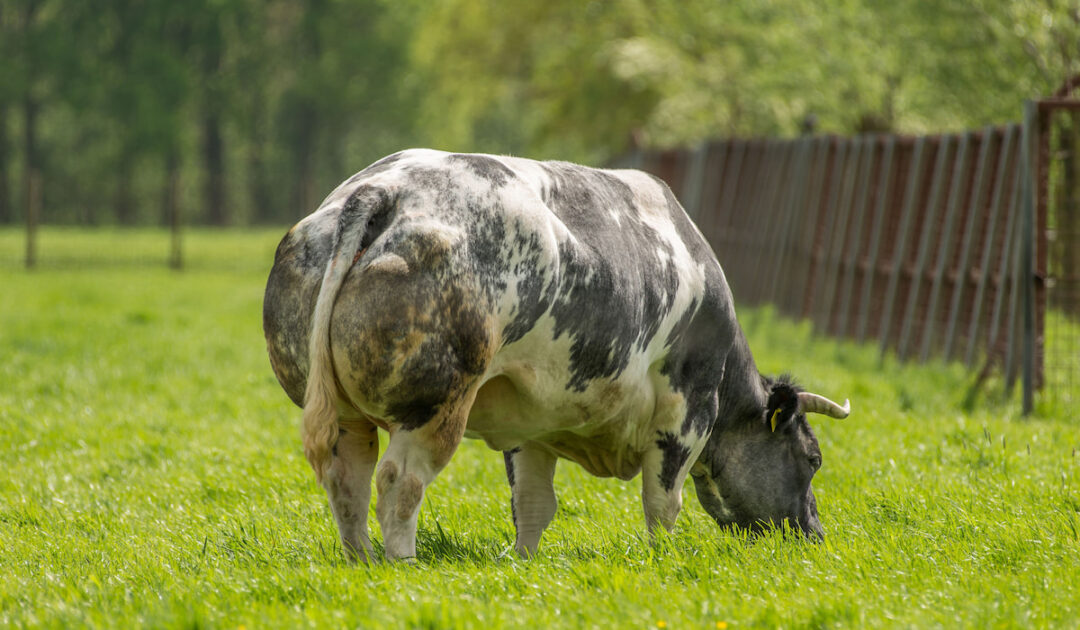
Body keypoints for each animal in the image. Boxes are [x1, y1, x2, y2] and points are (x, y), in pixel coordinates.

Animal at [263, 149, 851, 563]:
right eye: (812, 459)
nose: (815, 536)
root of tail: (382, 188)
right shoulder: (687, 411)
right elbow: (663, 503)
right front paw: (662, 559)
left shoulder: (530, 422)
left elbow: (533, 504)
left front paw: (524, 562)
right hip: (435, 404)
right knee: (398, 482)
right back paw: (401, 563)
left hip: (346, 413)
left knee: (347, 479)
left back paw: (362, 561)